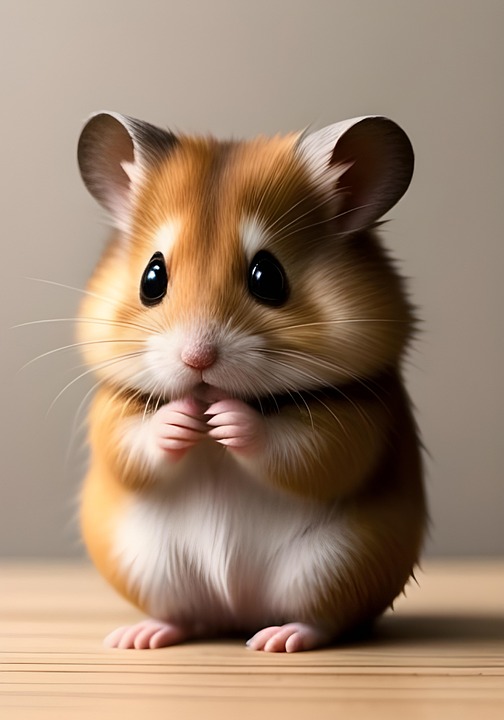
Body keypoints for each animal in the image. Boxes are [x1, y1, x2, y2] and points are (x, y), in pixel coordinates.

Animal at [77, 111, 426, 652]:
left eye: (268, 277)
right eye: (152, 278)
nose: (196, 358)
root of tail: (237, 611)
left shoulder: (357, 421)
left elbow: (305, 450)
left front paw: (225, 418)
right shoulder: (110, 410)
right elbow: (132, 441)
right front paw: (185, 419)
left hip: (337, 566)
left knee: (324, 620)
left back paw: (277, 641)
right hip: (148, 566)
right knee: (187, 617)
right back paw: (138, 637)